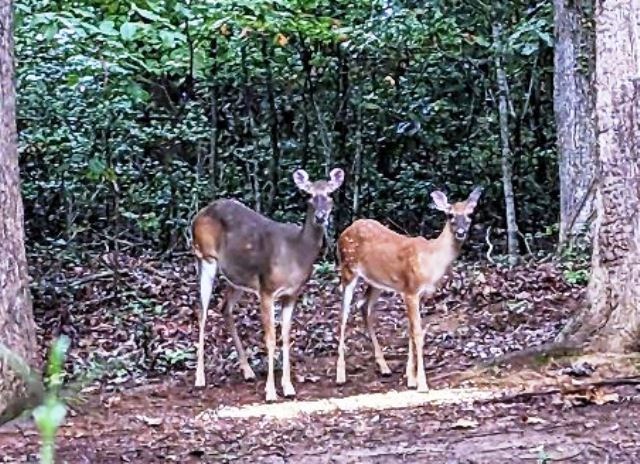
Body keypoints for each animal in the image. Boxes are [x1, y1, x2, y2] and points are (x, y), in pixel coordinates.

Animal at [191, 167, 344, 402]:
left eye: (329, 194)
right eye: (309, 195)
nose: (320, 217)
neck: (295, 253)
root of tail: (198, 215)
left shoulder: (291, 294)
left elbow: (286, 337)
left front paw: (288, 387)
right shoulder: (267, 290)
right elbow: (270, 338)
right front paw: (271, 391)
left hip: (238, 275)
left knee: (224, 307)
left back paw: (247, 371)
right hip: (205, 257)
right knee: (202, 311)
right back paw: (200, 378)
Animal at [335, 187, 482, 392]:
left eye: (470, 214)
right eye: (450, 215)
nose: (461, 232)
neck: (431, 259)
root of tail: (344, 232)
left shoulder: (419, 294)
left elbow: (412, 332)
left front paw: (410, 378)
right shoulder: (410, 290)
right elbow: (417, 334)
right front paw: (421, 383)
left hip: (376, 281)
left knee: (364, 306)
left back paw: (384, 367)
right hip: (348, 269)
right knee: (343, 314)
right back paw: (340, 375)